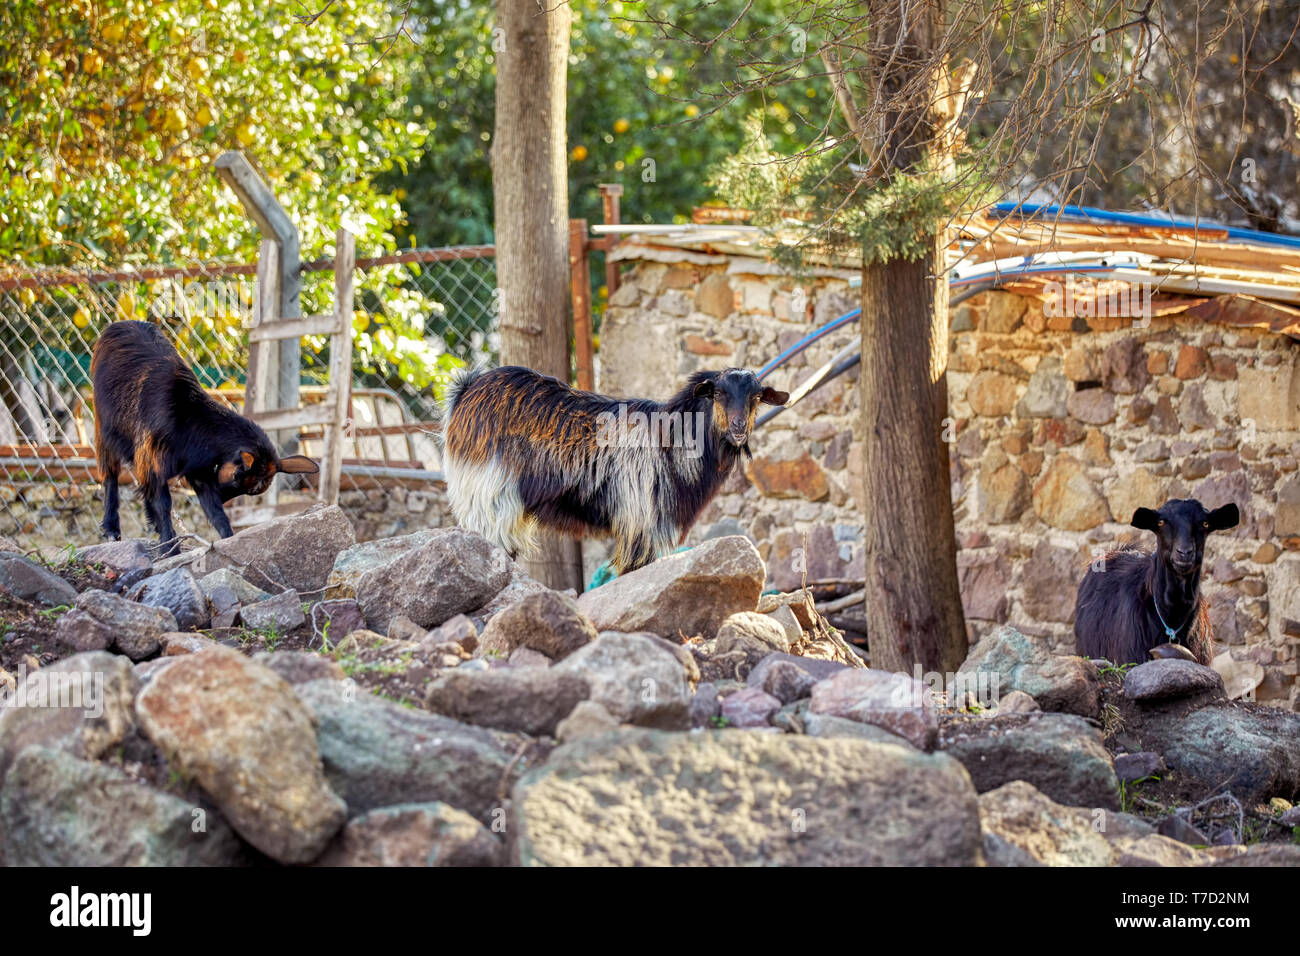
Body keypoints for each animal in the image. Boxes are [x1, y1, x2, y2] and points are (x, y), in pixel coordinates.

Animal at [91, 321, 319, 553]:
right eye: (237, 476)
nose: (224, 496)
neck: (188, 418)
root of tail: (120, 324)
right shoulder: (153, 458)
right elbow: (163, 503)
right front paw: (169, 546)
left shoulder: (199, 471)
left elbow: (214, 511)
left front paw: (226, 540)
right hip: (103, 426)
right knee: (110, 474)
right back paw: (112, 528)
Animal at [440, 366, 788, 573]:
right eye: (717, 392)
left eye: (757, 396)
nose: (739, 427)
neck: (671, 441)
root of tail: (467, 391)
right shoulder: (642, 526)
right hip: (488, 497)